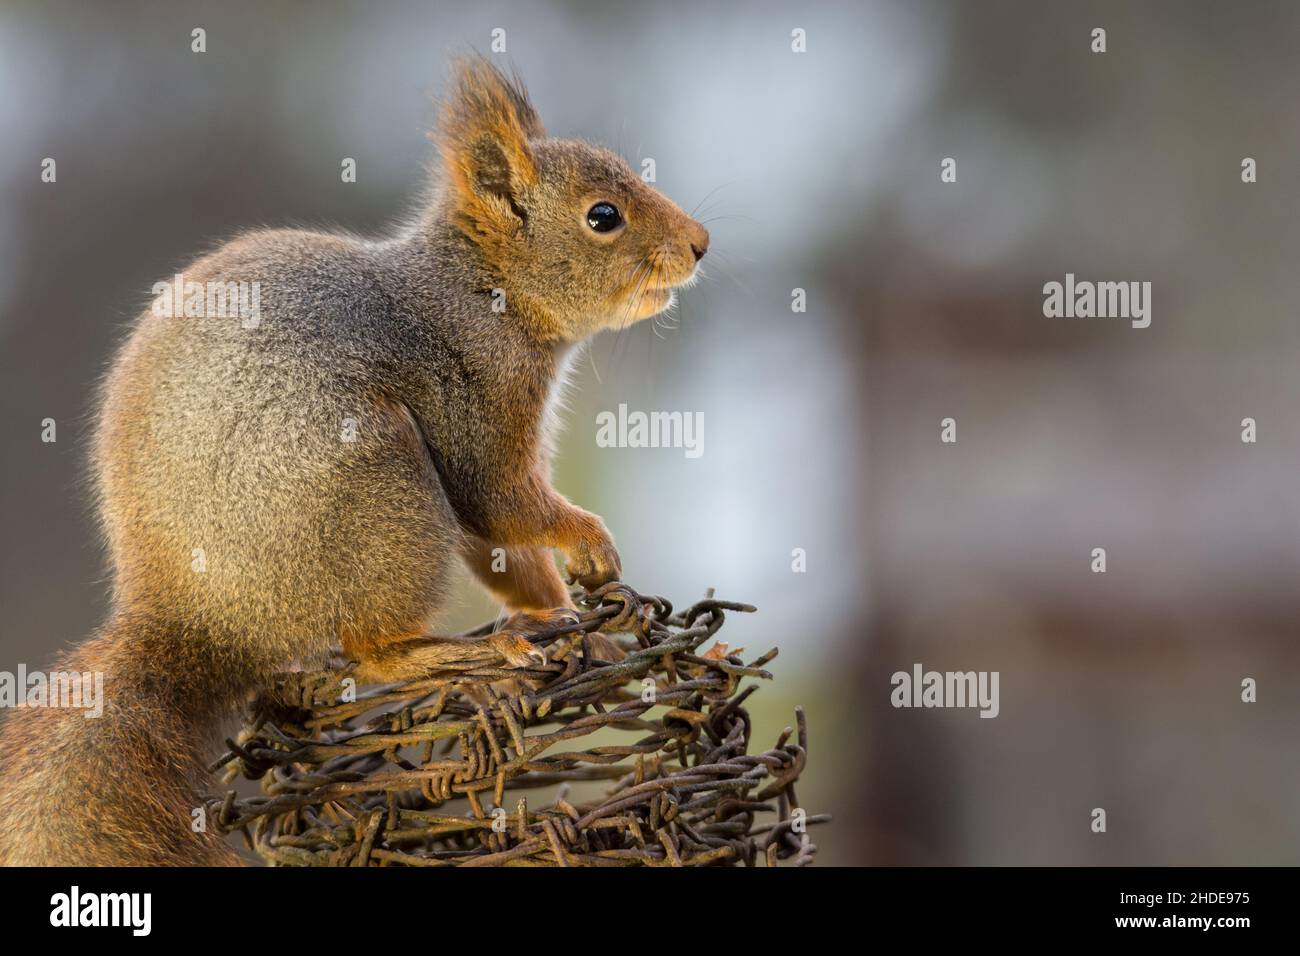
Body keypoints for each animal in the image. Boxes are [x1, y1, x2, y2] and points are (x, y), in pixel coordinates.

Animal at [0, 56, 709, 866]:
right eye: (603, 216)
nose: (700, 243)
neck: (482, 288)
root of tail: (204, 621)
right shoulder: (473, 400)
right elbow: (501, 501)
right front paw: (588, 544)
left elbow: (500, 546)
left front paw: (567, 613)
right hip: (379, 488)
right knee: (372, 651)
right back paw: (469, 657)